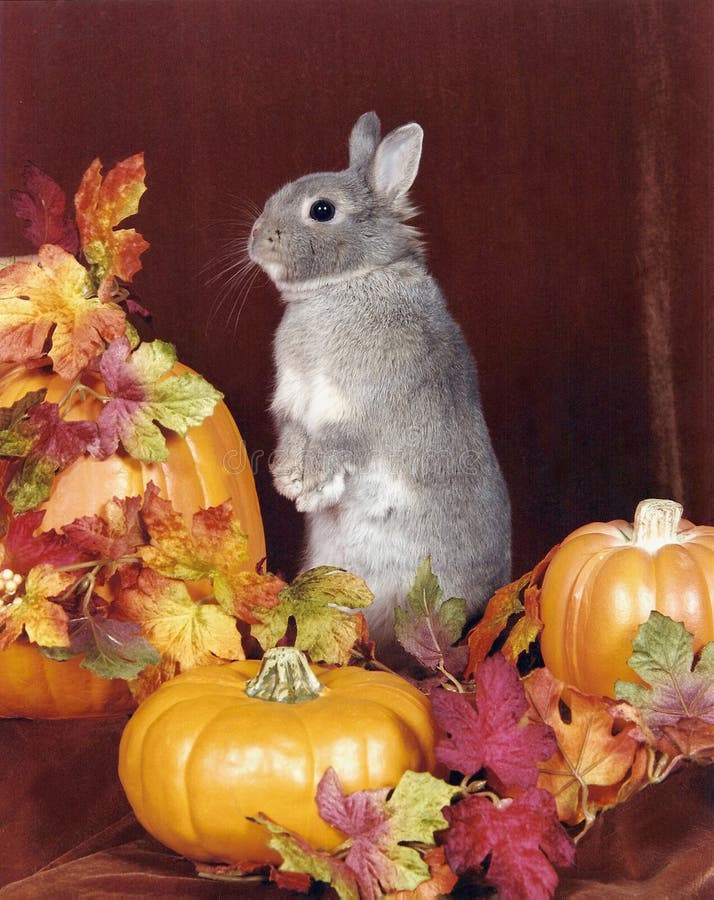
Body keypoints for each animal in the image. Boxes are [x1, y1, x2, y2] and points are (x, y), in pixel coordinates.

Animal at [248, 111, 511, 666]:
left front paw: (309, 486)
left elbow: (336, 444)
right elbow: (293, 436)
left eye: (322, 210)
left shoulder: (359, 412)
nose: (258, 237)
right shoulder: (293, 405)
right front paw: (287, 480)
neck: (346, 283)